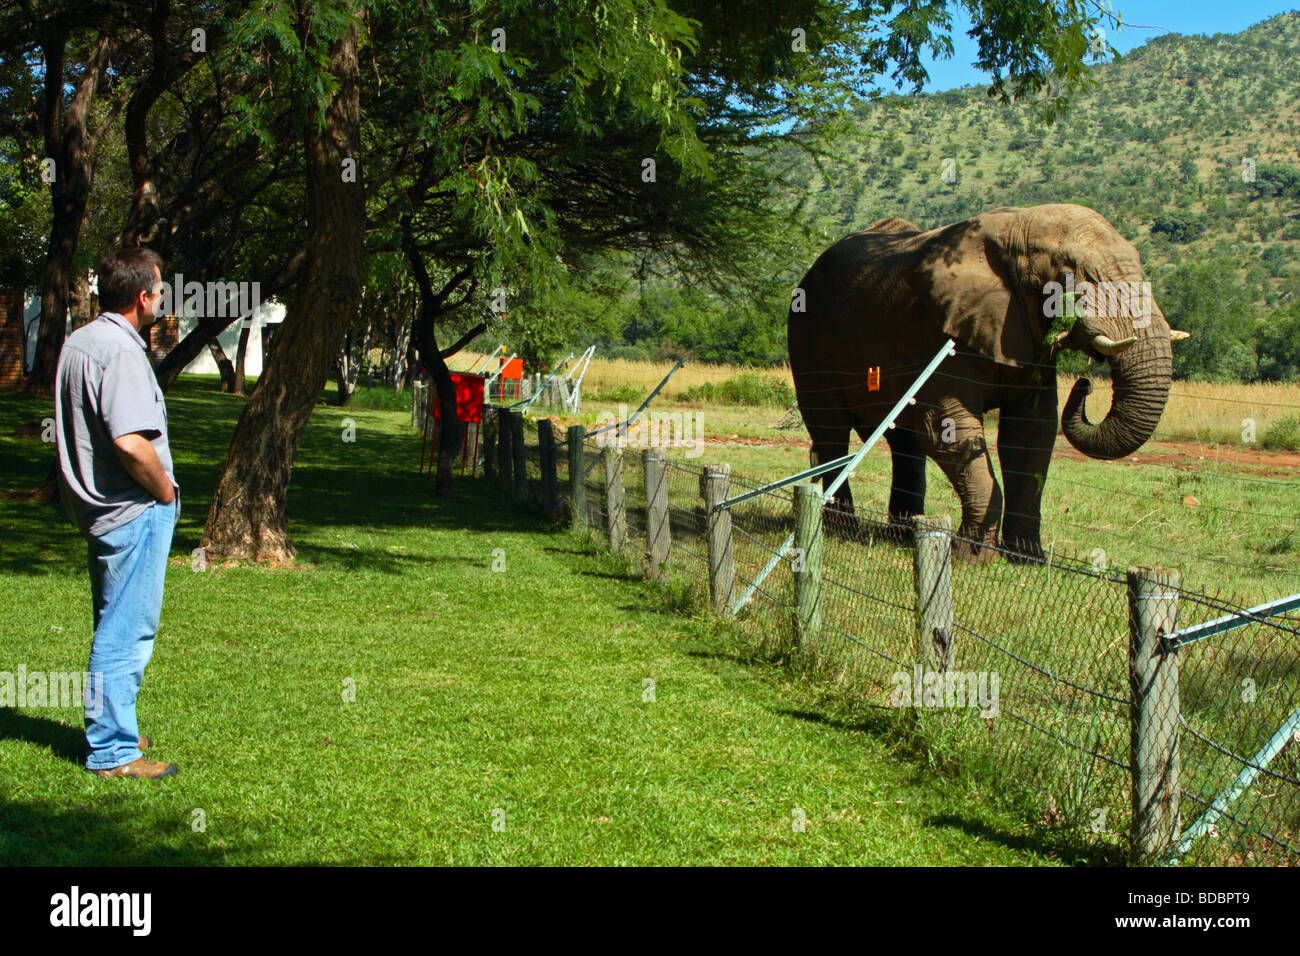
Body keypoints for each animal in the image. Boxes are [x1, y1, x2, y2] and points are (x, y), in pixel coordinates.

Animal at [787, 203, 1187, 561]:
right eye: (1075, 272)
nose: (1085, 384)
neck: (1017, 227)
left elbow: (1030, 436)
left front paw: (1029, 559)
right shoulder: (941, 330)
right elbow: (948, 432)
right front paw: (972, 557)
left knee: (905, 443)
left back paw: (902, 536)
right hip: (806, 339)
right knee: (831, 431)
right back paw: (843, 532)